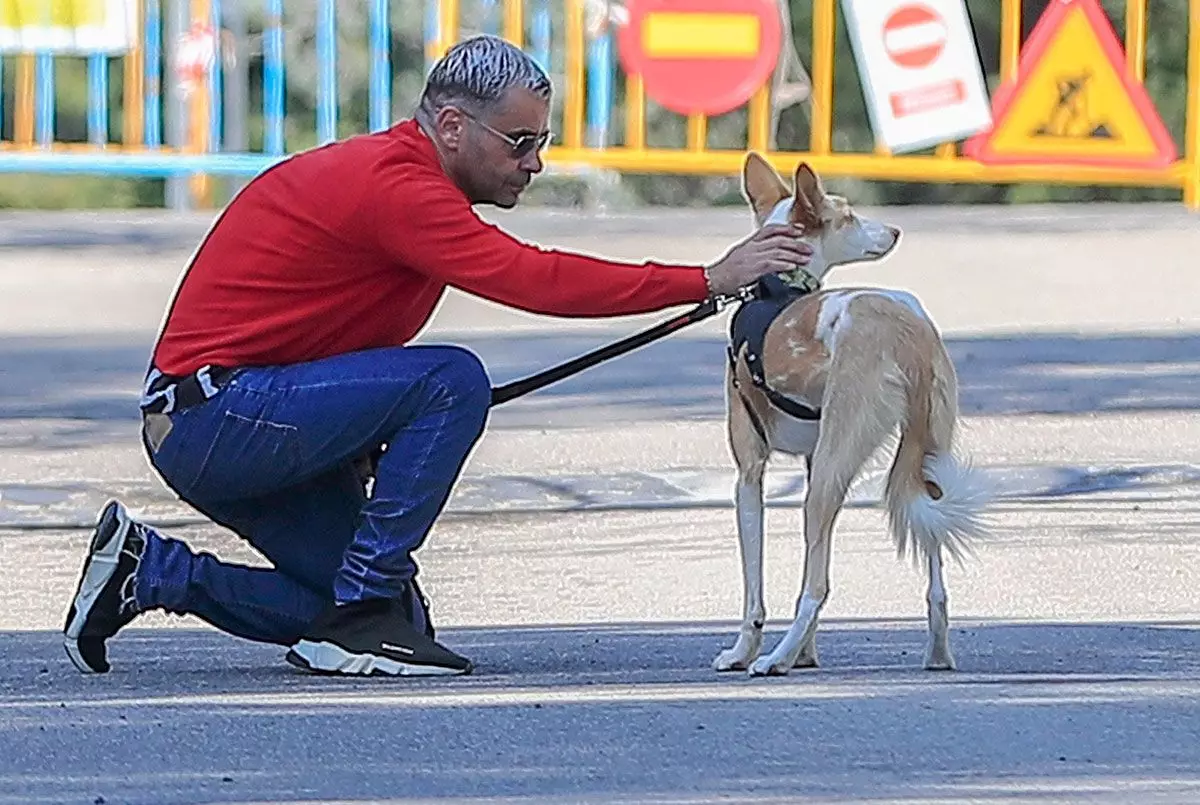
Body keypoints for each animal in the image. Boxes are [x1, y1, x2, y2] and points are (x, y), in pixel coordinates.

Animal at [710, 154, 993, 676]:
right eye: (849, 216)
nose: (897, 231)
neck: (780, 290)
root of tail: (908, 332)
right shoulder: (808, 459)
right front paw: (808, 656)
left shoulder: (750, 473)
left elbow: (753, 590)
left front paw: (745, 653)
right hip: (918, 458)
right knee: (936, 577)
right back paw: (937, 655)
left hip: (829, 473)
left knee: (816, 589)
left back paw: (775, 659)